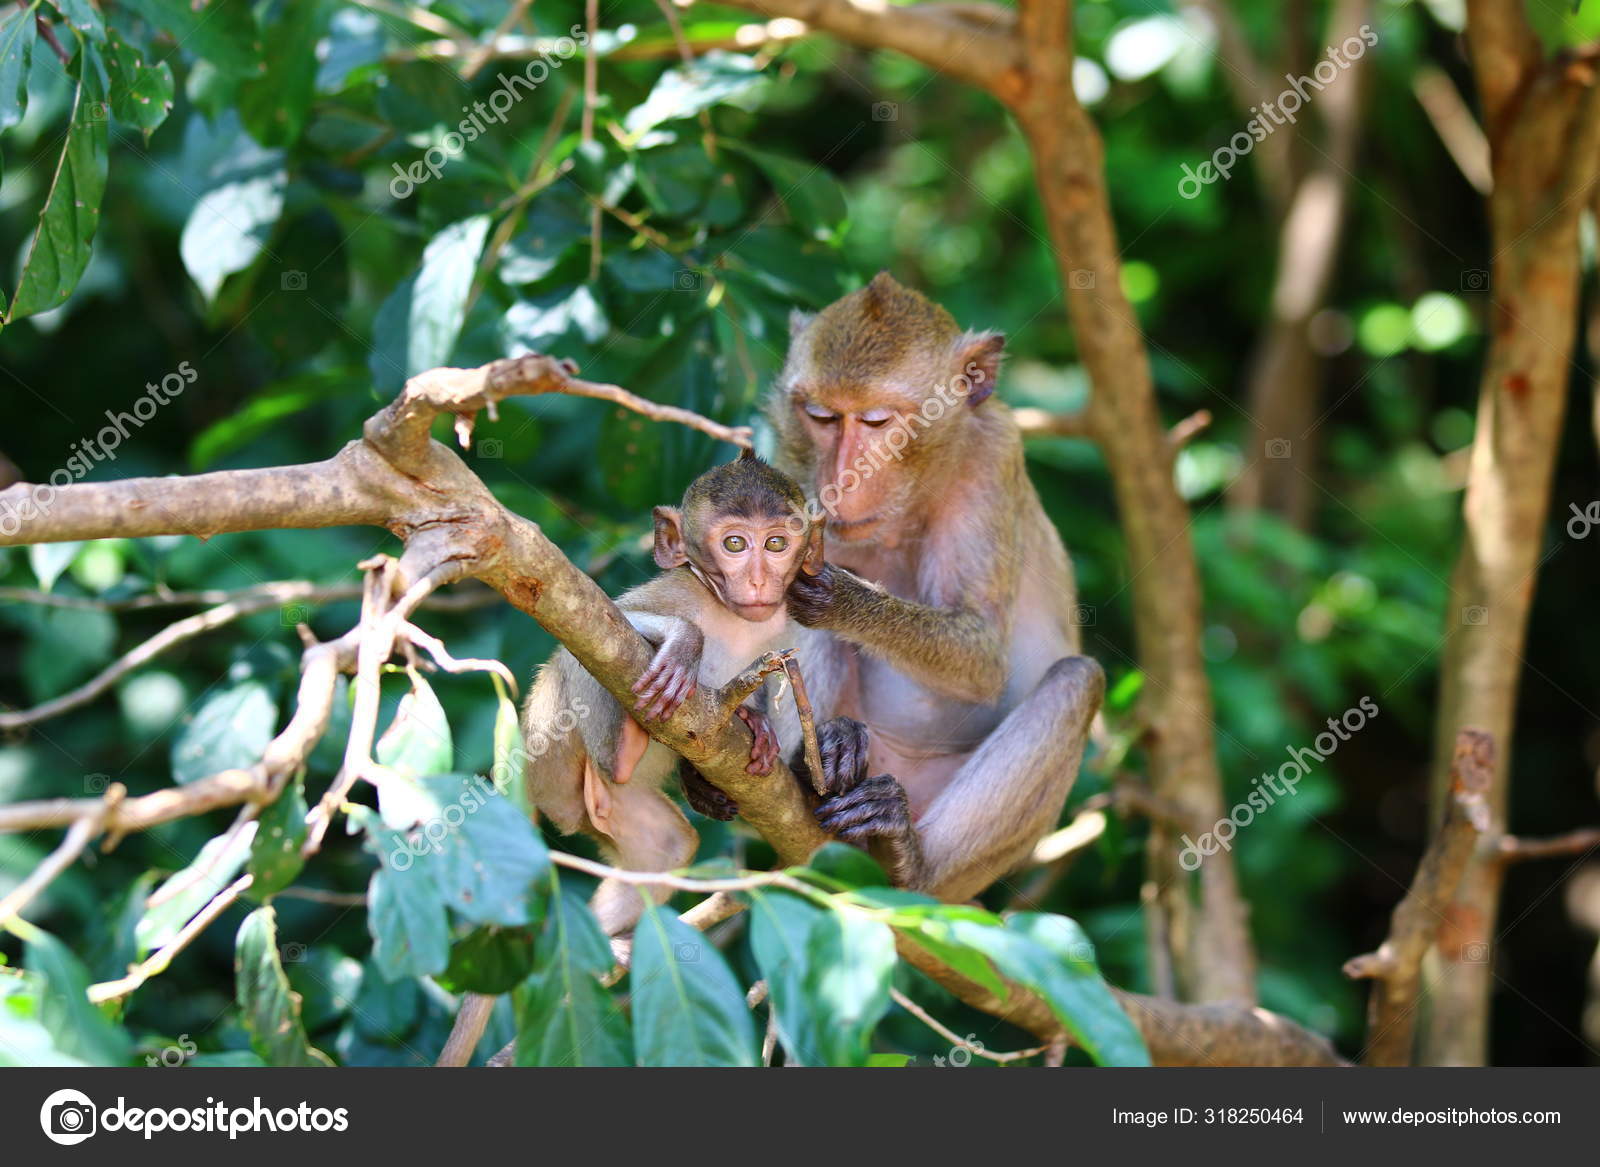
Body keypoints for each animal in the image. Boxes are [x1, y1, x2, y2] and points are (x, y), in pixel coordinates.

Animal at [521, 450, 824, 936]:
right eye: (734, 544)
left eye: (776, 544)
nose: (758, 581)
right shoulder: (681, 590)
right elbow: (601, 618)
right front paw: (685, 644)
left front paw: (756, 724)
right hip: (549, 747)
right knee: (580, 653)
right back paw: (623, 748)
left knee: (669, 846)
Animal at [765, 270, 1104, 903]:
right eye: (821, 416)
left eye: (877, 421)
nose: (843, 477)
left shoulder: (994, 455)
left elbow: (984, 657)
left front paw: (841, 598)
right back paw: (816, 762)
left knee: (1077, 682)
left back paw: (907, 857)